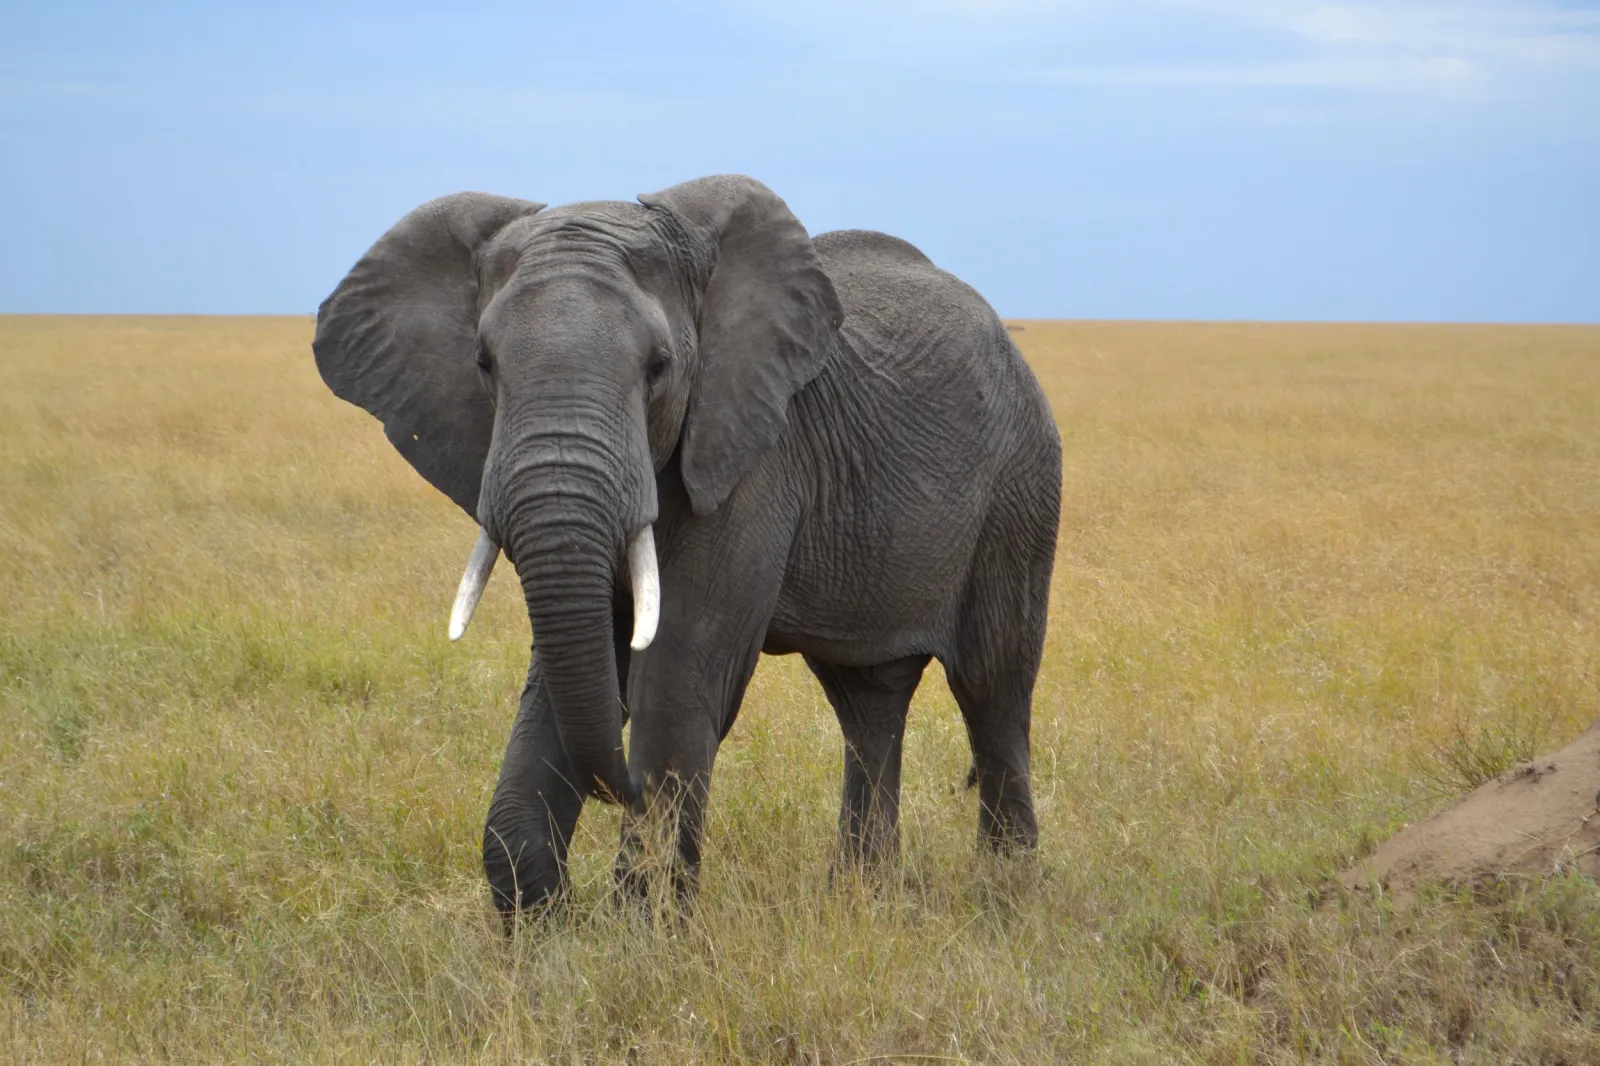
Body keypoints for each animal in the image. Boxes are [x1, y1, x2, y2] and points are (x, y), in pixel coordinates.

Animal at [312, 175, 1061, 918]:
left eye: (659, 366)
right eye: (483, 364)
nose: (620, 782)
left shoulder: (754, 457)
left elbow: (675, 675)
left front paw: (643, 932)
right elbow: (563, 675)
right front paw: (542, 926)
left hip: (1021, 484)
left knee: (992, 685)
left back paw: (1005, 892)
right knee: (868, 700)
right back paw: (861, 899)